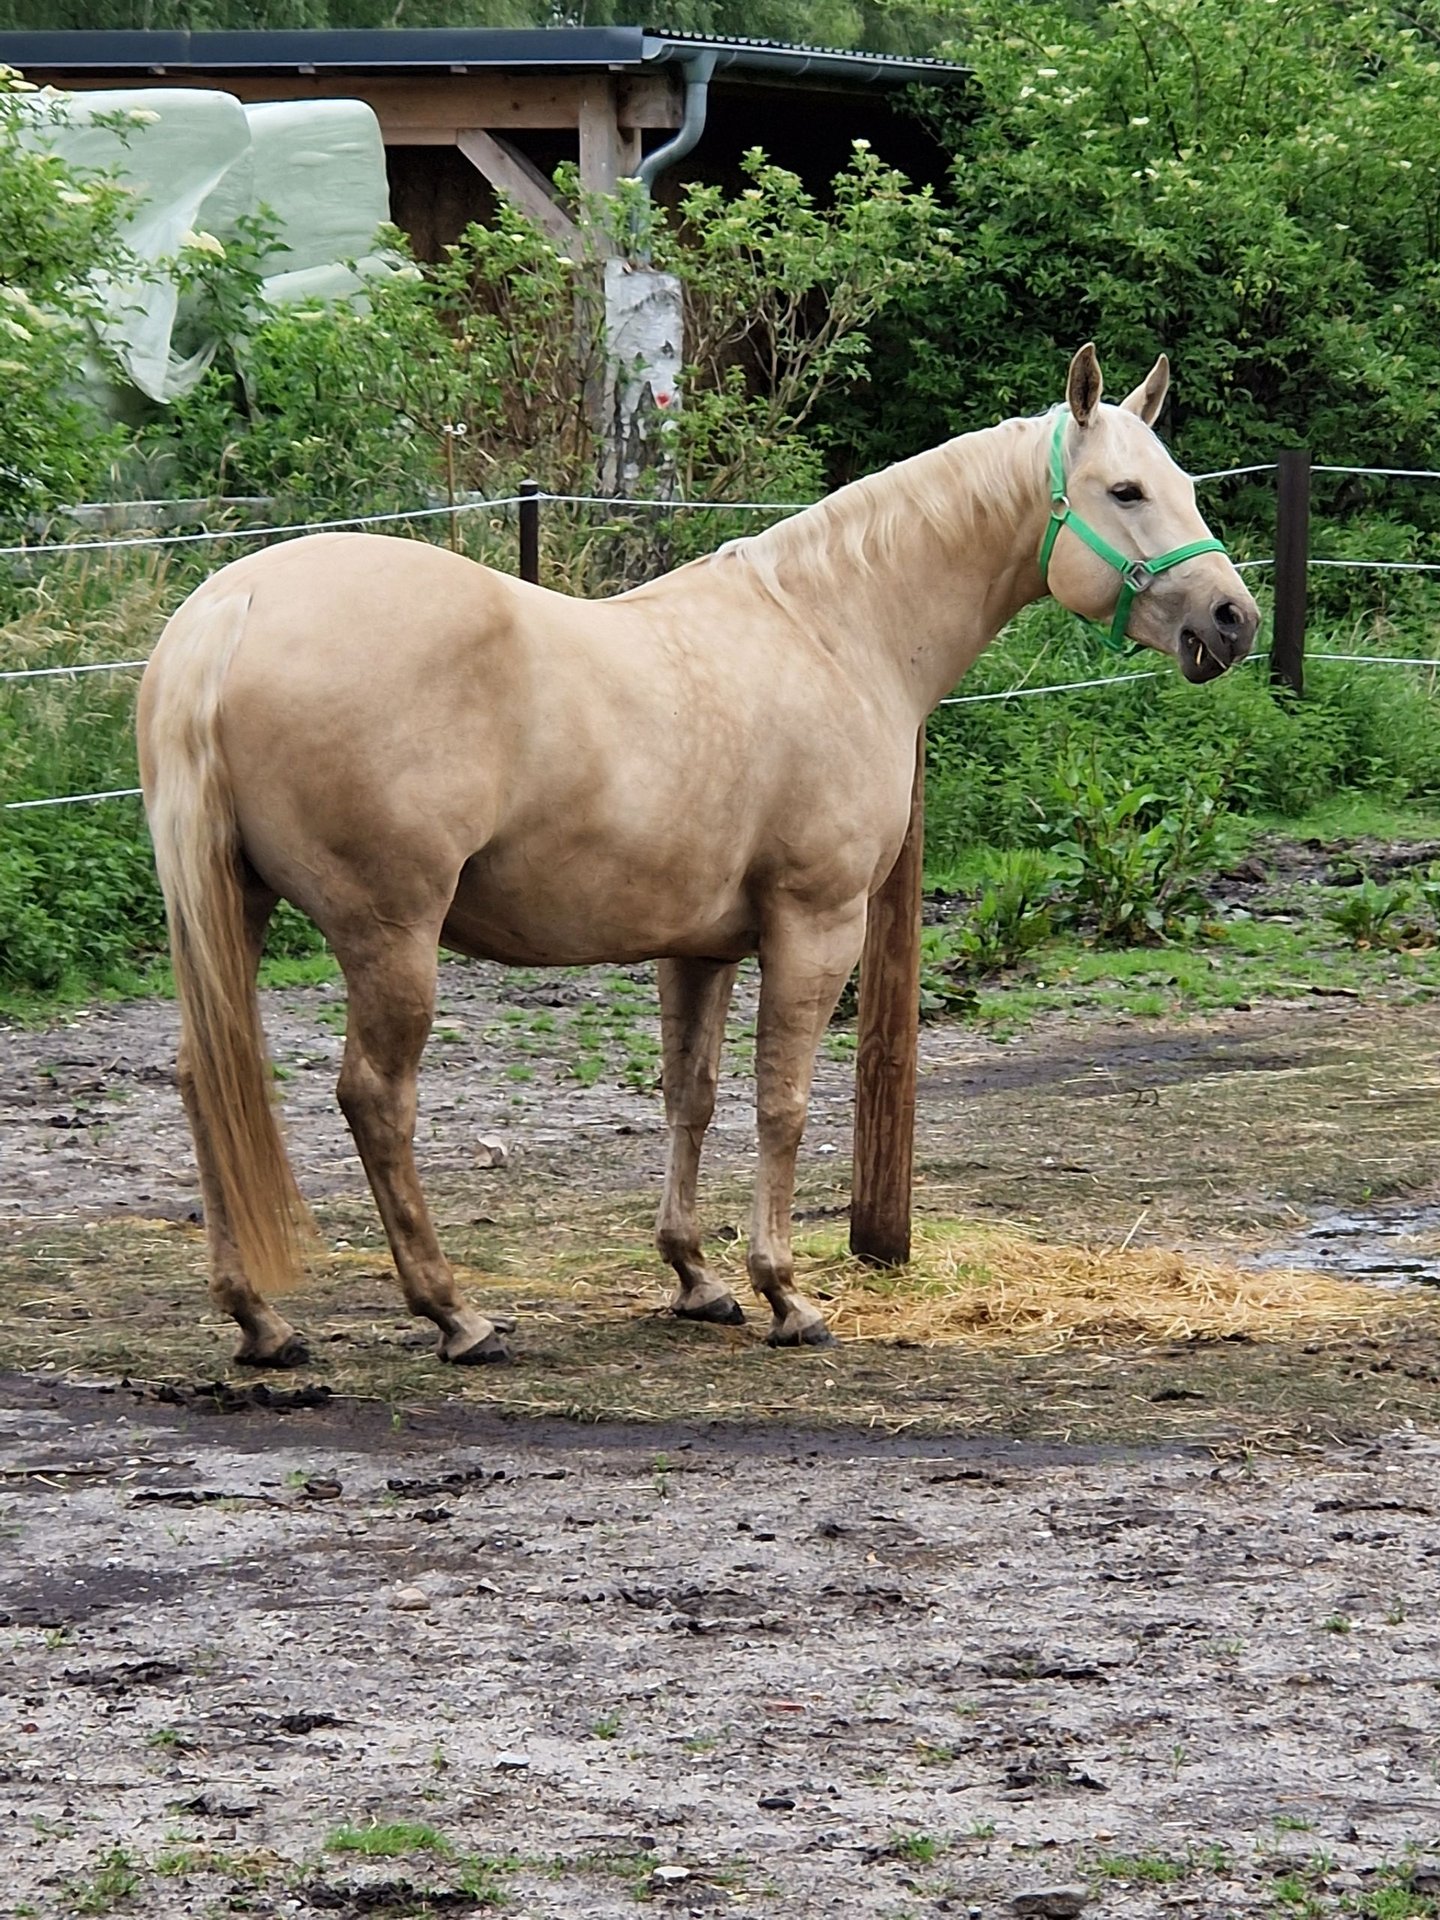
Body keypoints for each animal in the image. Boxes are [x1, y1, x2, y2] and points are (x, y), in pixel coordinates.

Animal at [137, 344, 1258, 1368]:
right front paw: (784, 1294)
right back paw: (454, 1315)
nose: (1233, 618)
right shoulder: (816, 925)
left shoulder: (697, 948)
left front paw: (695, 1278)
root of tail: (231, 610)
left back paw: (262, 1323)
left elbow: (693, 1095)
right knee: (375, 1099)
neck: (833, 632)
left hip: (235, 913)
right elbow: (782, 1103)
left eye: (1187, 487)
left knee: (205, 1079)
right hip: (391, 937)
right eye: (1124, 491)